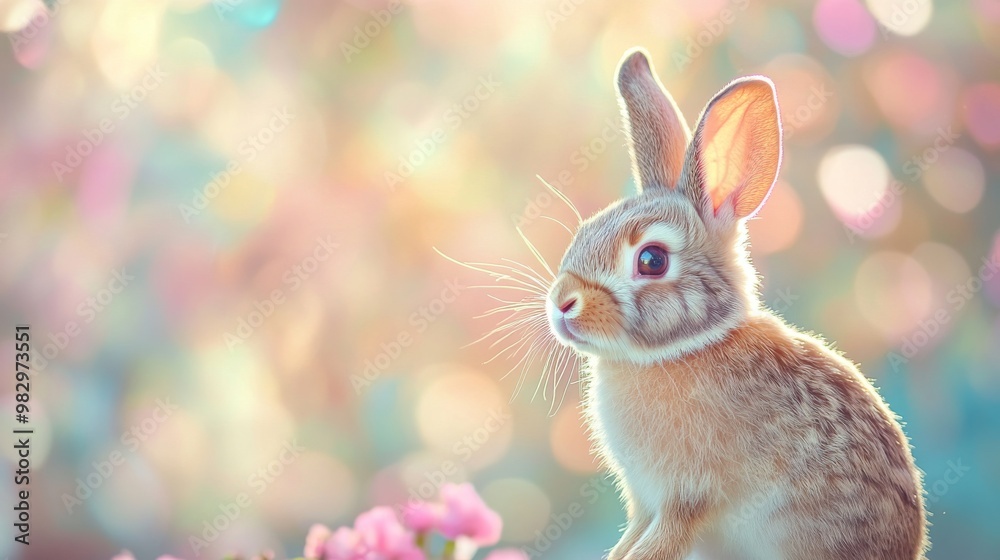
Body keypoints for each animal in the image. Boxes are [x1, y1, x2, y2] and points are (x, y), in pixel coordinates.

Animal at [543, 47, 929, 560]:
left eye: (651, 260)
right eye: (585, 230)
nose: (562, 303)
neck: (679, 351)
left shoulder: (685, 499)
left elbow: (653, 548)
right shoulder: (645, 503)